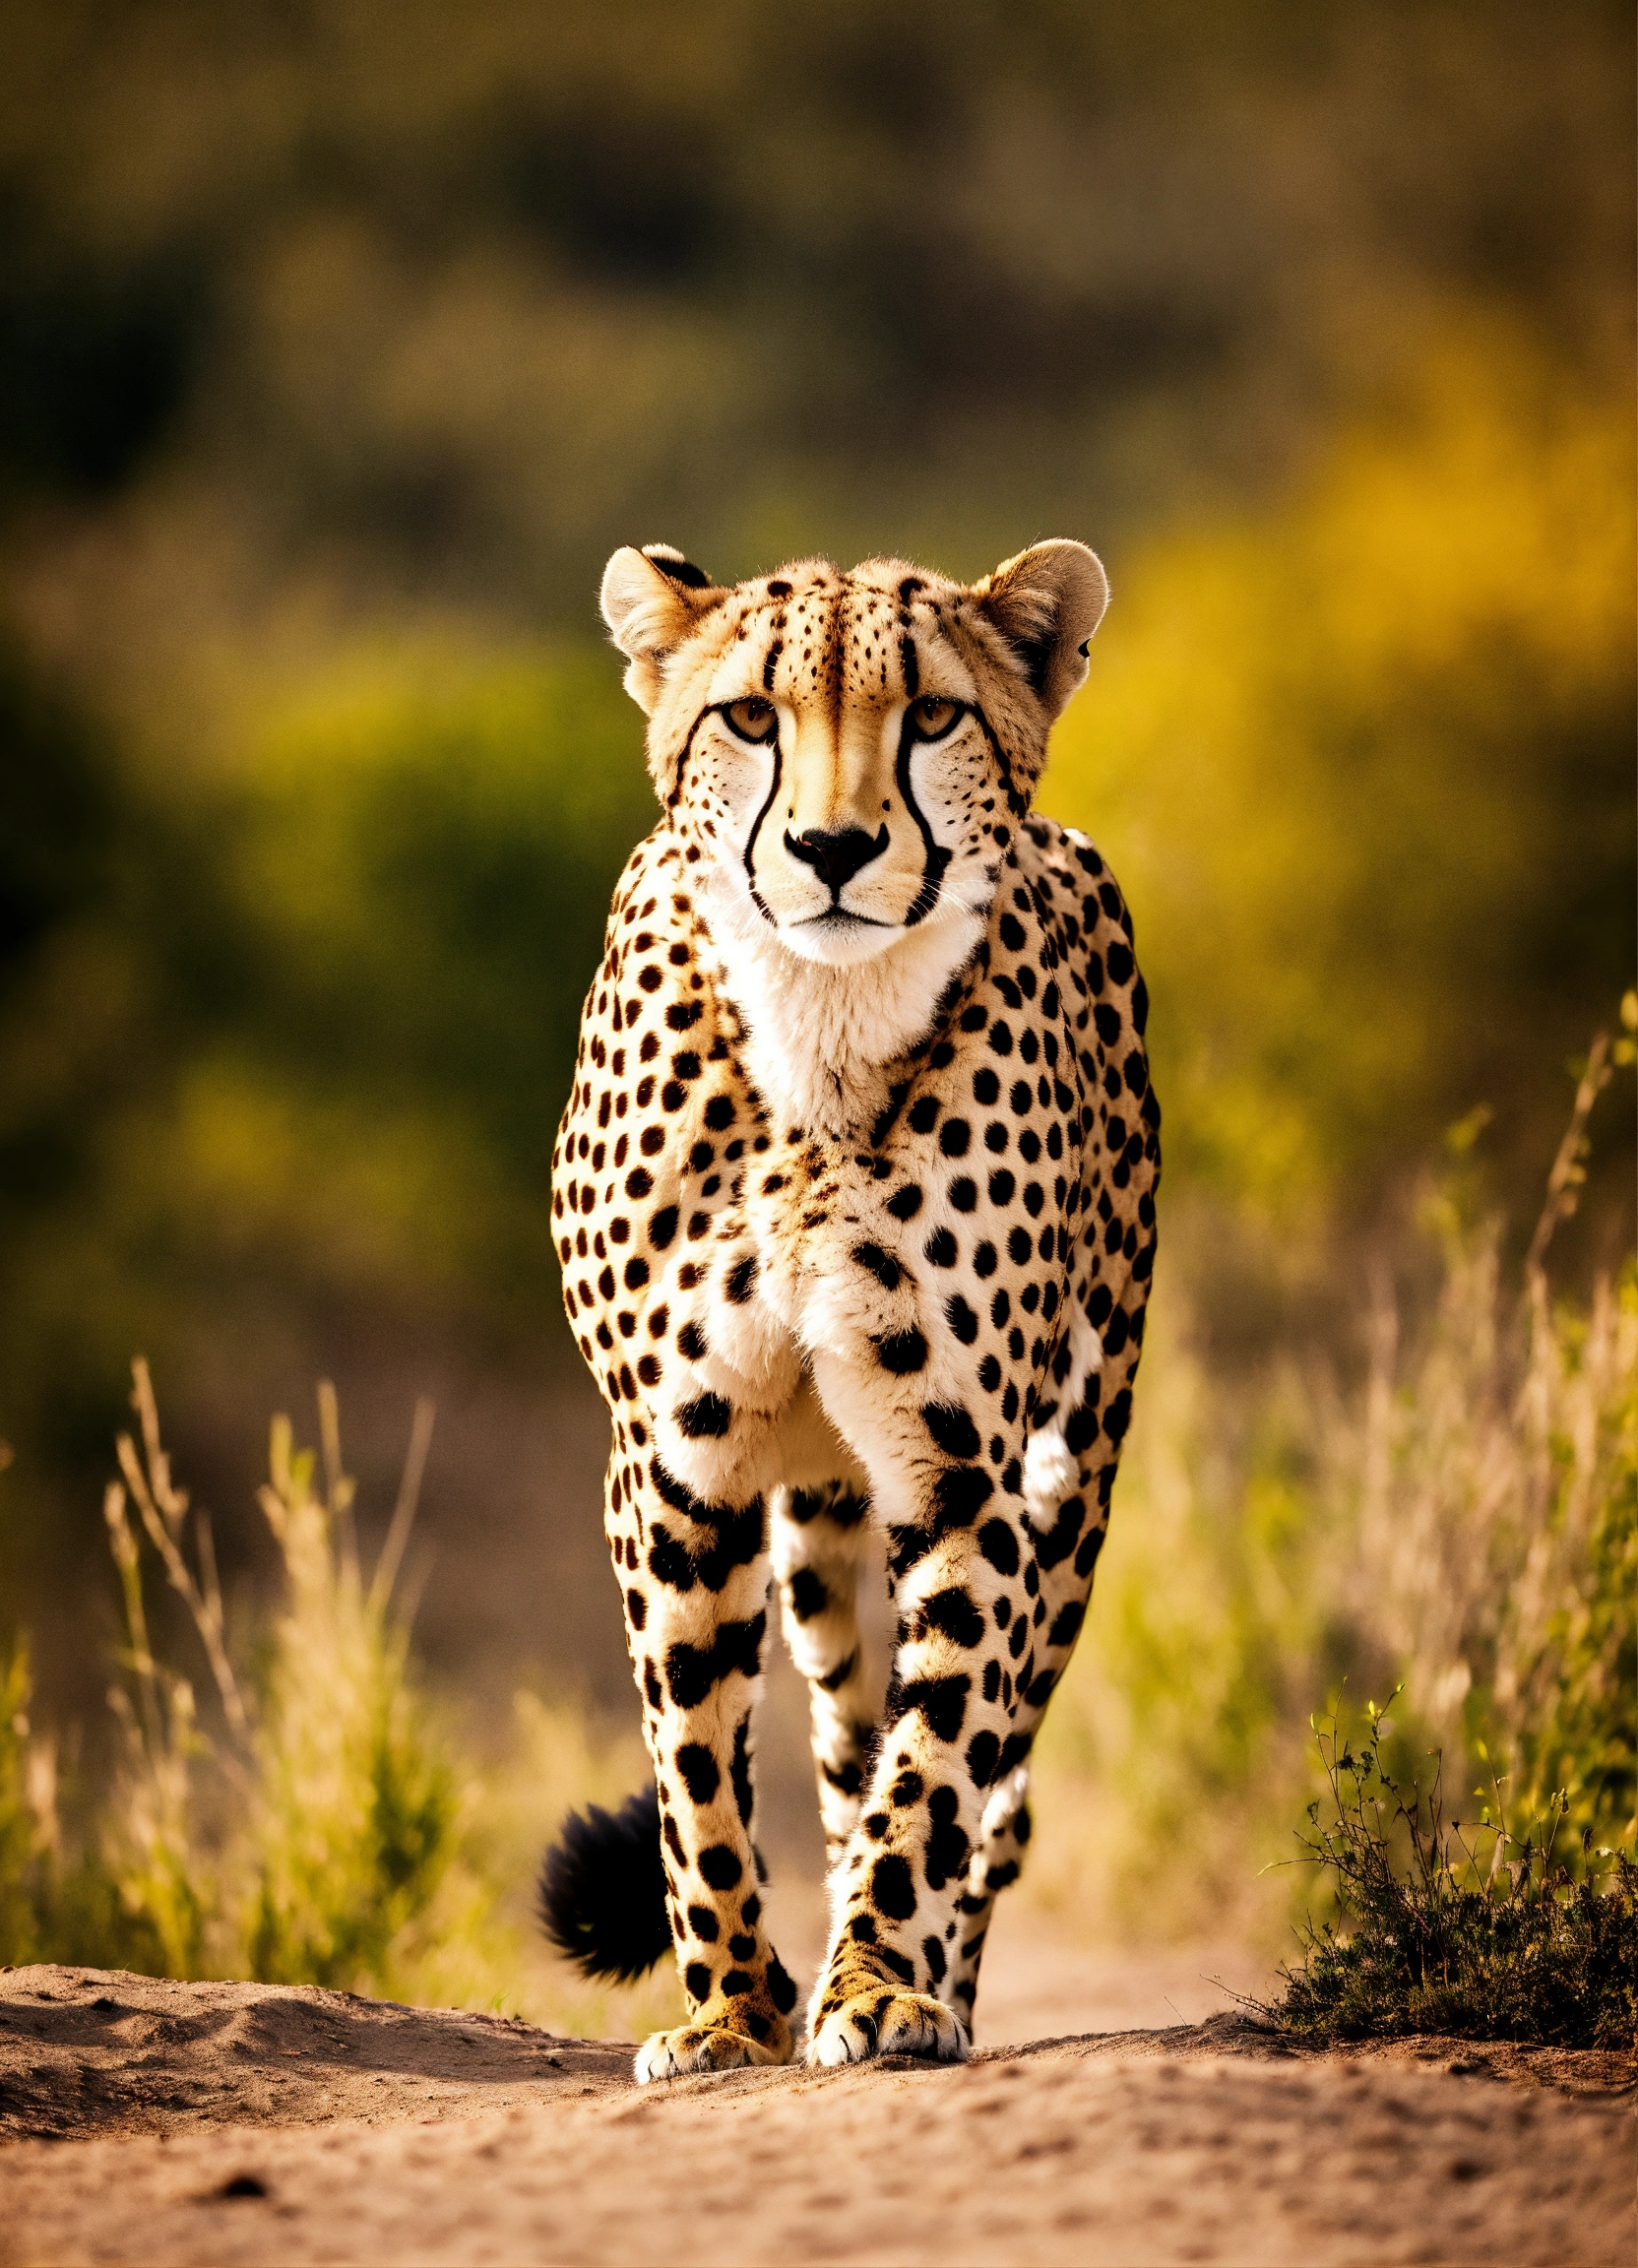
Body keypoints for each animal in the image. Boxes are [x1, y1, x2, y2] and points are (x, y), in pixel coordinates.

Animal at [542, 536, 1158, 2082]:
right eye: (749, 718)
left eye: (931, 715)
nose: (830, 851)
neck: (819, 1031)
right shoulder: (674, 1462)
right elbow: (698, 1773)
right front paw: (728, 2011)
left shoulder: (962, 1468)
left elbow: (936, 1759)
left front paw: (882, 1987)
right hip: (817, 1521)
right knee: (835, 1734)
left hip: (1077, 1474)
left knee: (983, 1763)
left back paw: (931, 1972)